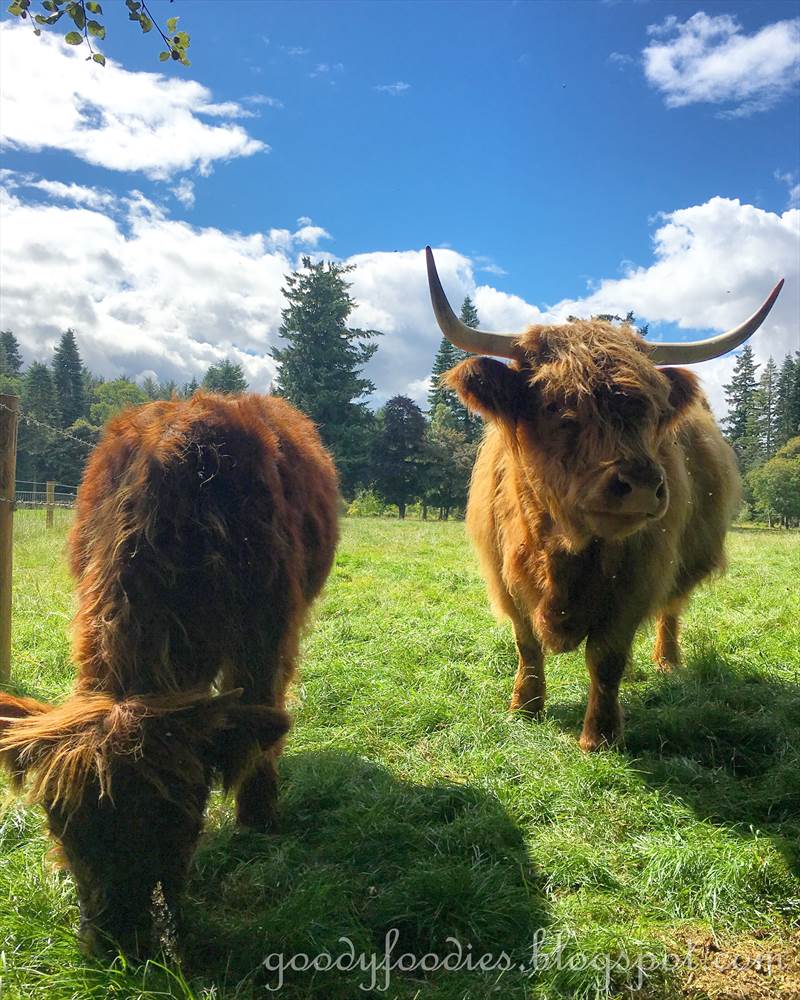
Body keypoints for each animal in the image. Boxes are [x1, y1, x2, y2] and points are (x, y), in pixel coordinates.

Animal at [0, 392, 339, 958]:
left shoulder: (265, 636)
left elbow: (261, 719)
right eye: (60, 822)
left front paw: (258, 818)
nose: (113, 944)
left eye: (174, 816)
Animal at [426, 247, 783, 752]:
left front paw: (600, 736)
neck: (561, 547)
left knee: (671, 610)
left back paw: (666, 661)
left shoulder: (636, 581)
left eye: (652, 410)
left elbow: (606, 657)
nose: (641, 484)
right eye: (556, 406)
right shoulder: (505, 575)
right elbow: (526, 644)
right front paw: (525, 709)